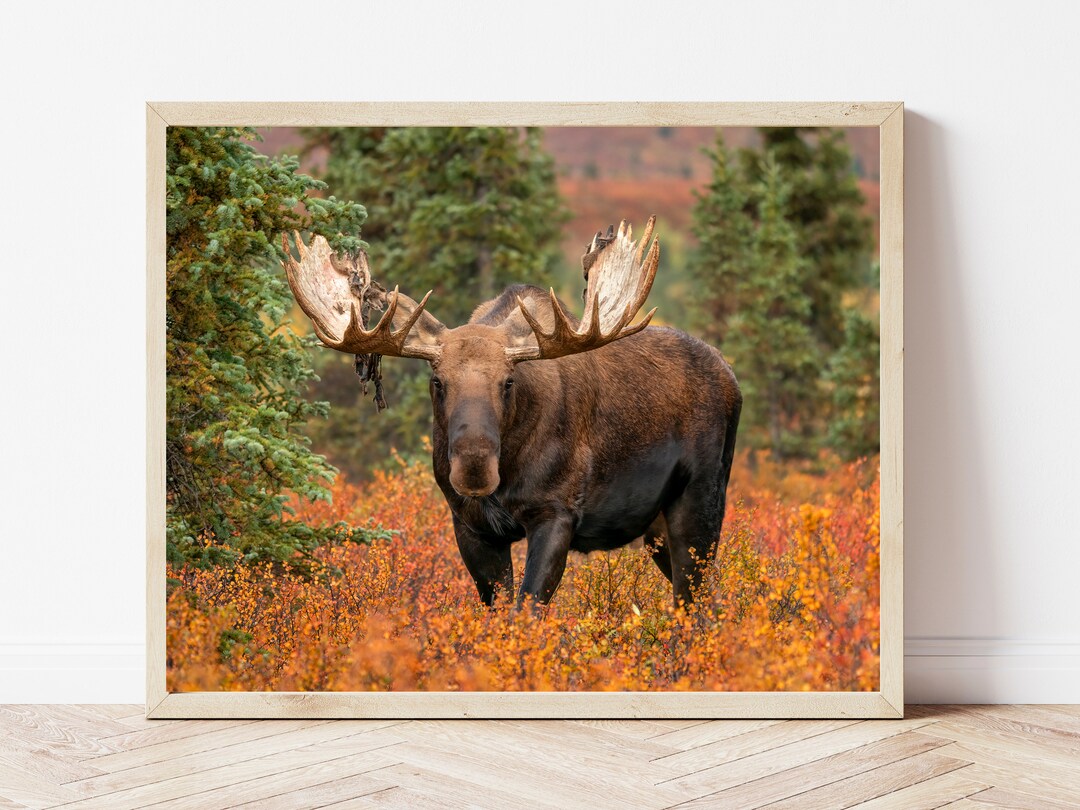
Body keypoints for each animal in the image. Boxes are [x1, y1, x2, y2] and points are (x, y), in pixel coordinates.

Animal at [283, 218, 741, 608]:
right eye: (437, 381)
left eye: (508, 381)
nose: (474, 468)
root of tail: (731, 376)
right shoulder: (470, 525)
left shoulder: (555, 513)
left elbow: (527, 610)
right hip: (656, 529)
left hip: (701, 498)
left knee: (694, 602)